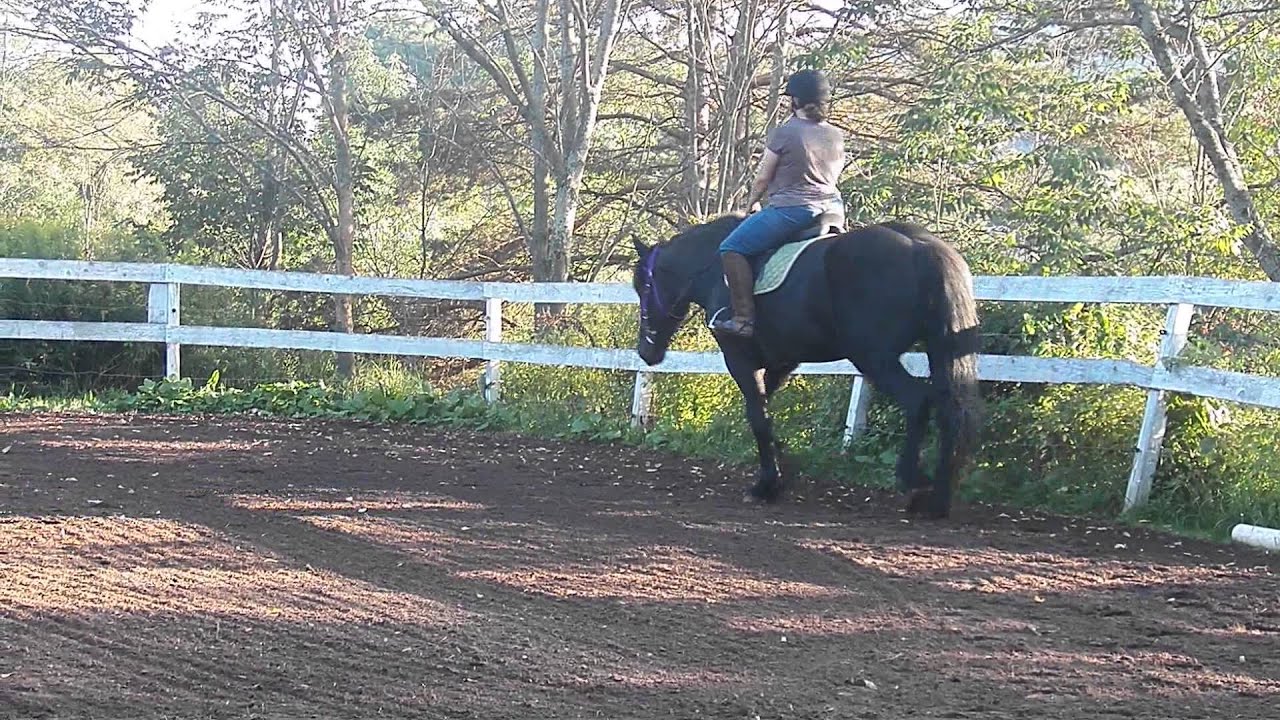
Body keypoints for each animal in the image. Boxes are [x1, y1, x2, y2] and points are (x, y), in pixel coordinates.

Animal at [629, 212, 983, 518]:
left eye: (642, 287)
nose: (646, 351)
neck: (714, 269)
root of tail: (922, 246)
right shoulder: (782, 361)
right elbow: (764, 410)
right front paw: (783, 467)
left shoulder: (739, 358)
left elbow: (757, 416)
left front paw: (767, 484)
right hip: (939, 351)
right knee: (951, 412)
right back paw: (939, 498)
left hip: (874, 358)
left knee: (918, 402)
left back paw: (913, 483)